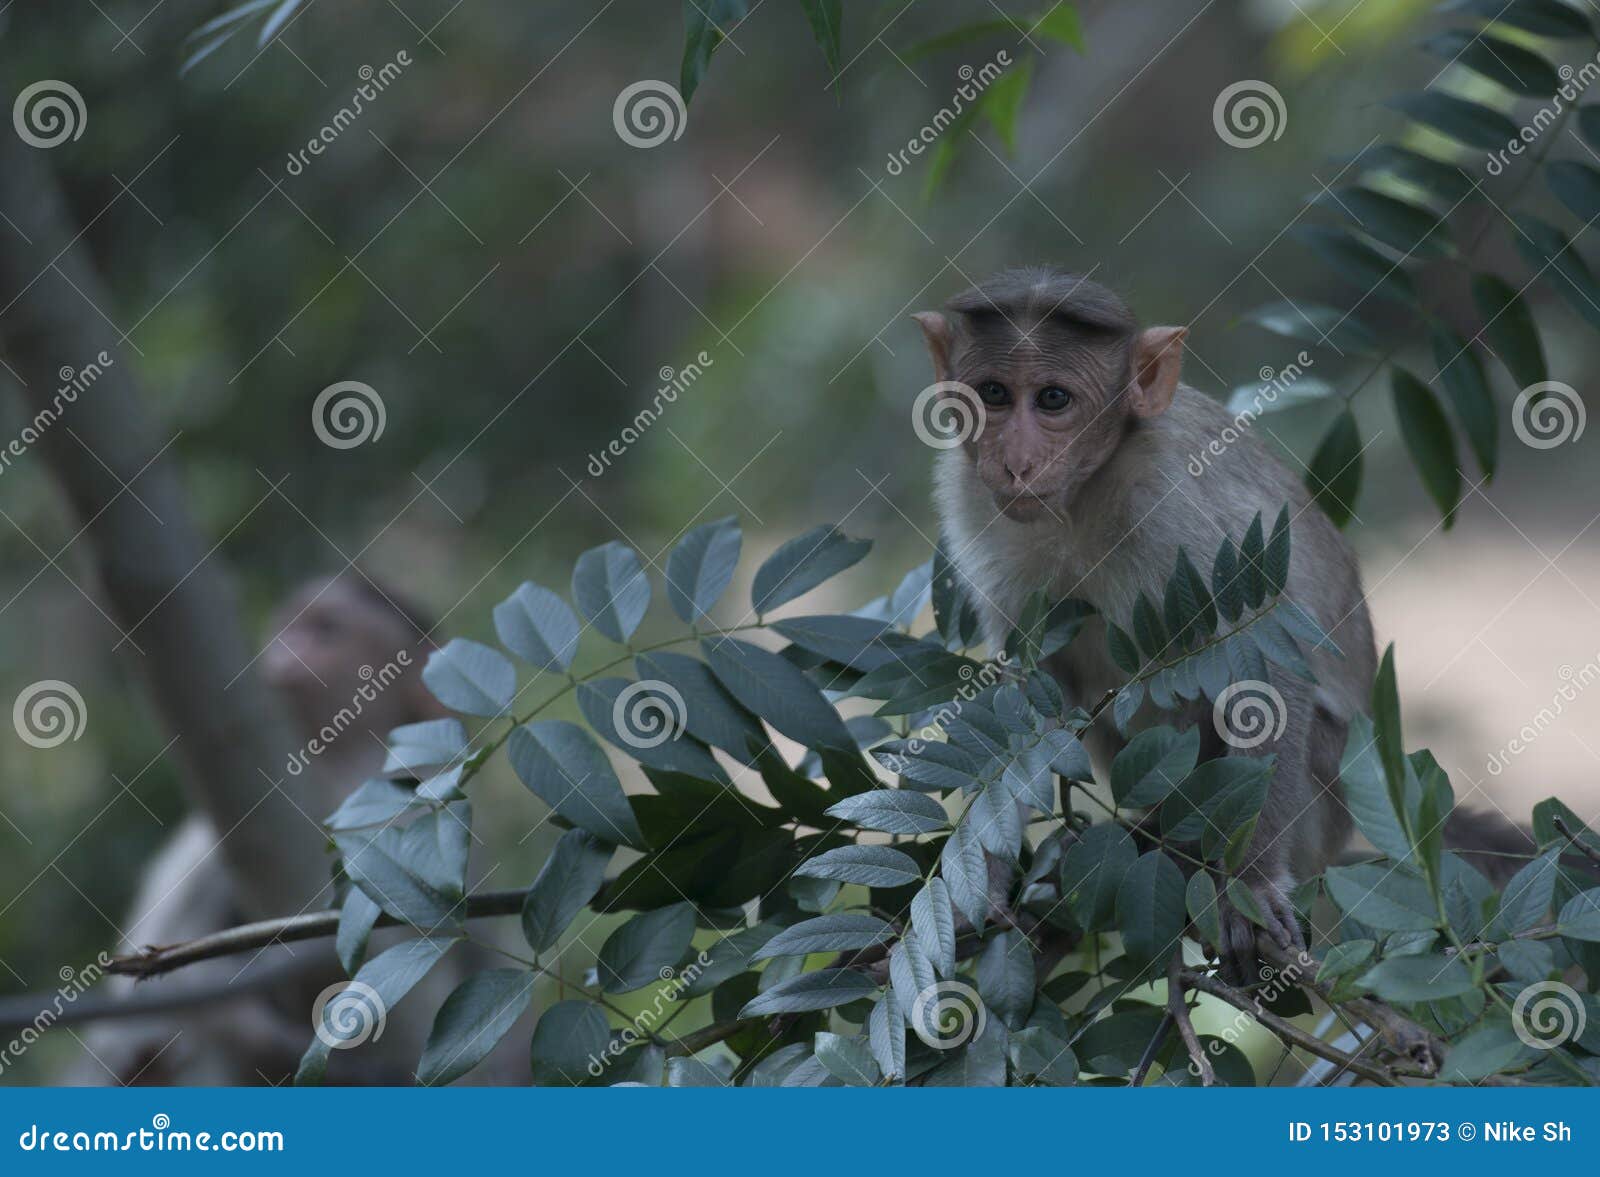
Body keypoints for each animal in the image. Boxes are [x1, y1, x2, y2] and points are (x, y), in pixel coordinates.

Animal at [915, 267, 1377, 983]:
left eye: (1053, 399)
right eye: (992, 394)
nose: (1016, 461)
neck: (1080, 496)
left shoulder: (1175, 502)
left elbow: (1267, 665)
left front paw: (1251, 886)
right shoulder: (971, 498)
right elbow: (1025, 699)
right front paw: (981, 881)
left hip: (1325, 803)